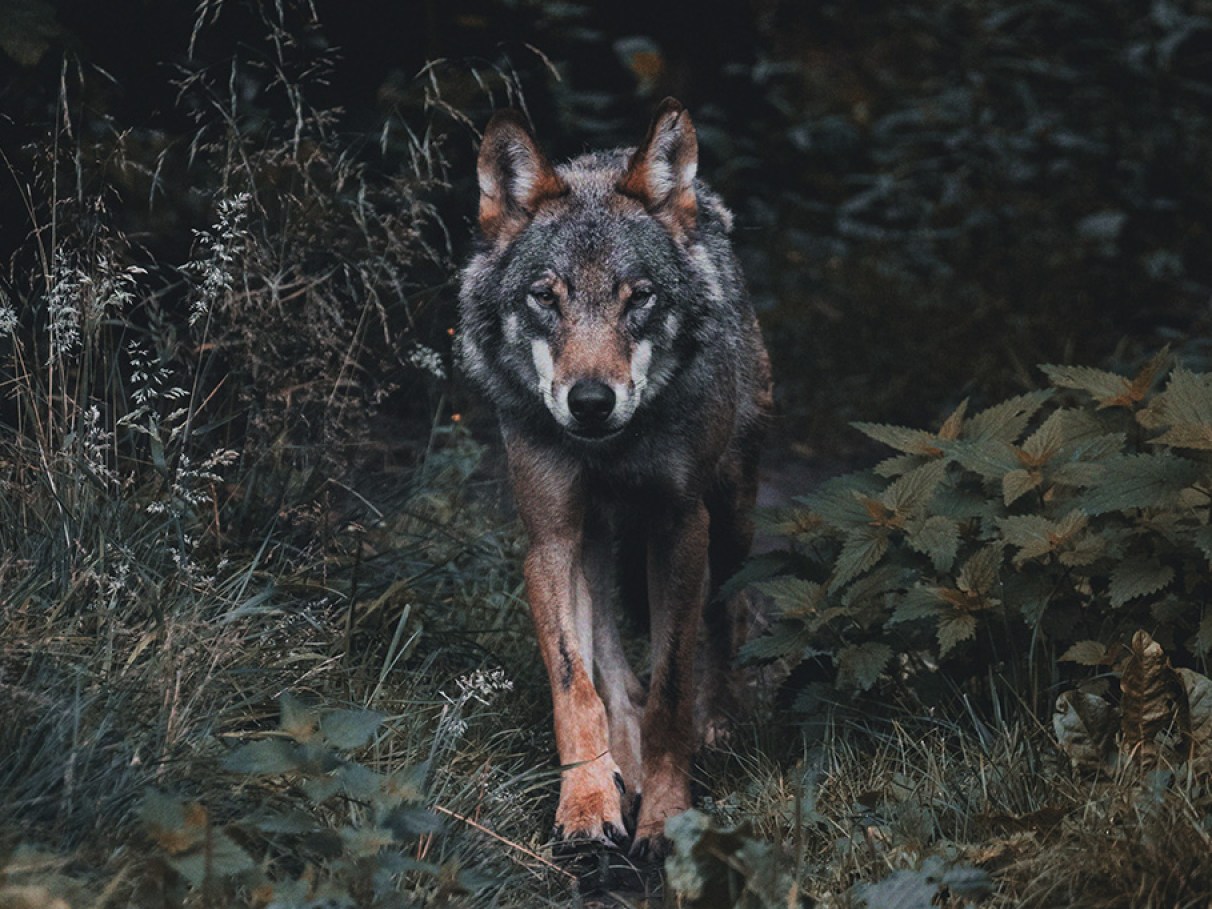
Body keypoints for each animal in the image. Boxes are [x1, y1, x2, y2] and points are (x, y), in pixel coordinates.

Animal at [457, 98, 772, 857]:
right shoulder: (550, 540)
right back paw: (621, 767)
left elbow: (671, 688)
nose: (592, 401)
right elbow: (578, 687)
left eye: (640, 298)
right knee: (611, 666)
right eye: (546, 297)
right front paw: (587, 803)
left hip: (733, 520)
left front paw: (665, 813)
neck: (611, 451)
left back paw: (716, 725)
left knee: (726, 616)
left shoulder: (681, 527)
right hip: (595, 543)